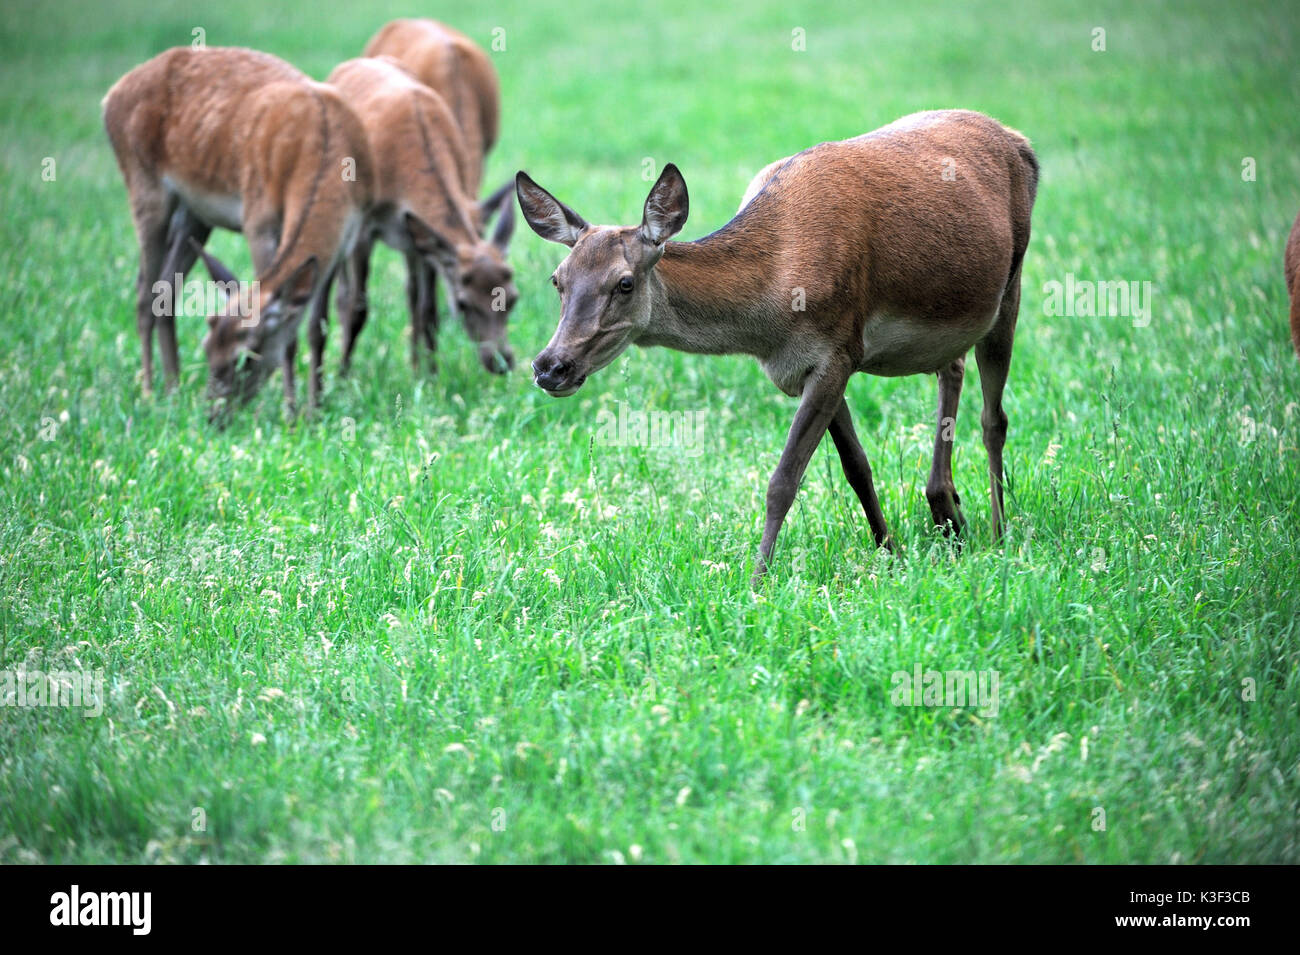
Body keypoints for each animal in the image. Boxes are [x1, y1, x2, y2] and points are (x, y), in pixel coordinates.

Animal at [102, 46, 373, 420]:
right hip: (143, 183)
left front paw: (314, 407)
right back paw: (148, 392)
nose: (214, 416)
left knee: (165, 289)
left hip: (194, 215)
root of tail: (109, 97)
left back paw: (173, 389)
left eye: (246, 356)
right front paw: (291, 413)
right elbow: (289, 332)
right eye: (206, 345)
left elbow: (316, 326)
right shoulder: (257, 218)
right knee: (144, 291)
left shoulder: (345, 240)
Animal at [325, 56, 518, 376]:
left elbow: (428, 311)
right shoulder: (364, 229)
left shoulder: (422, 242)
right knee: (343, 293)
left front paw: (429, 376)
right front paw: (341, 376)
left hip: (409, 243)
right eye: (463, 304)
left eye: (513, 298)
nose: (501, 361)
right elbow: (357, 308)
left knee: (412, 295)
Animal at [516, 109, 1038, 582]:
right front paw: (890, 552)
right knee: (952, 369)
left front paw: (757, 580)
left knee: (994, 418)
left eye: (623, 283)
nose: (550, 366)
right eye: (558, 280)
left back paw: (998, 532)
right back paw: (947, 511)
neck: (772, 309)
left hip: (1011, 285)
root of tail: (1020, 140)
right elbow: (857, 467)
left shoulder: (837, 349)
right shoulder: (813, 363)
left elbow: (783, 480)